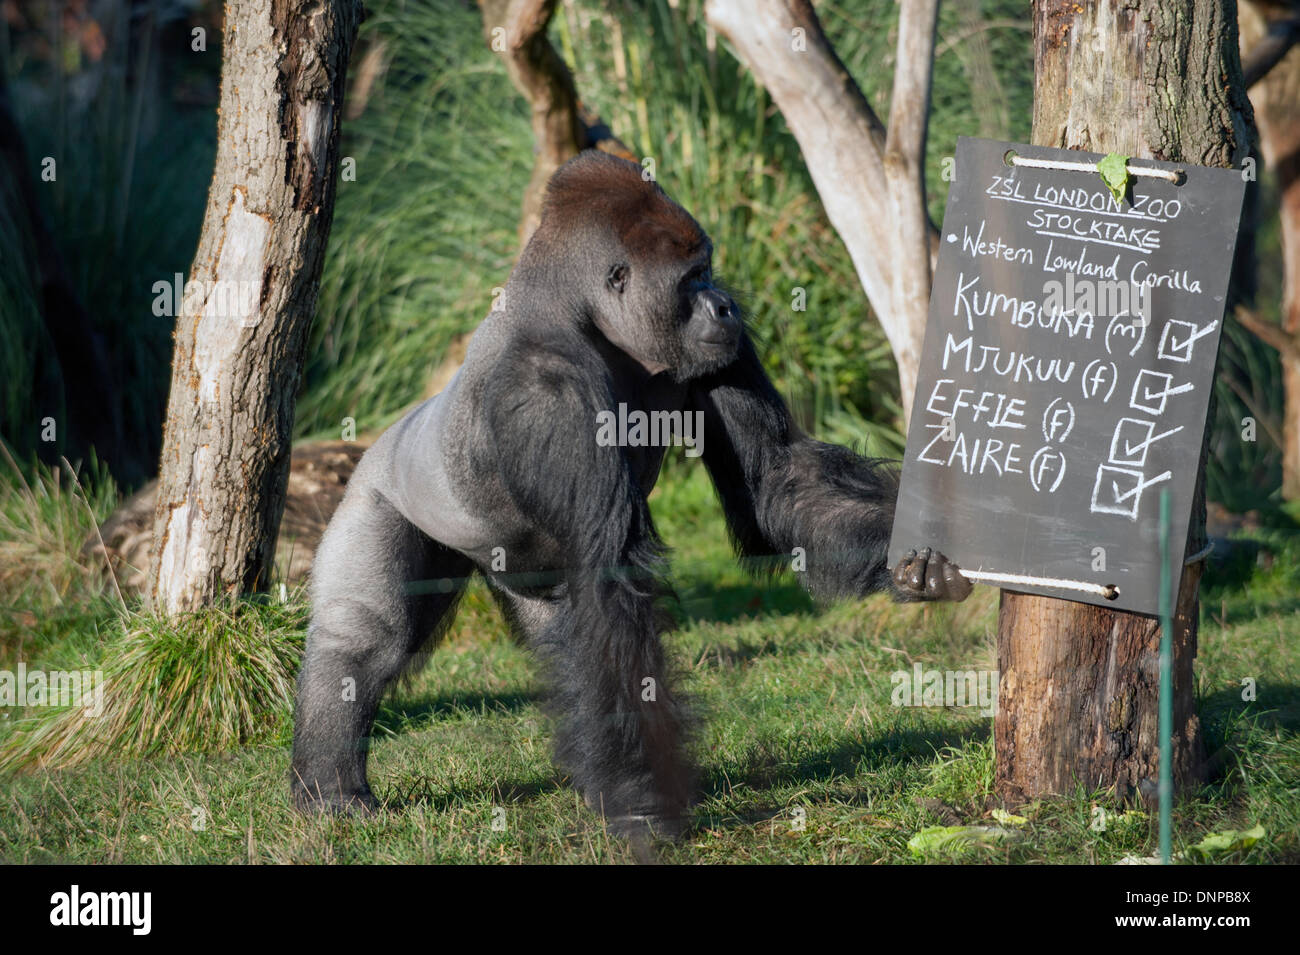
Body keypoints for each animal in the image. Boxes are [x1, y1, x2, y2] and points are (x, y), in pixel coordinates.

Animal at [290, 150, 971, 841]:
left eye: (708, 273)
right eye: (691, 279)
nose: (725, 305)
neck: (583, 317)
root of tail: (380, 440)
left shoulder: (720, 354)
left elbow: (778, 482)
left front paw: (916, 555)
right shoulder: (548, 387)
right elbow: (609, 571)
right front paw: (644, 804)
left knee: (558, 638)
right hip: (378, 490)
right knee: (367, 640)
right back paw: (329, 788)